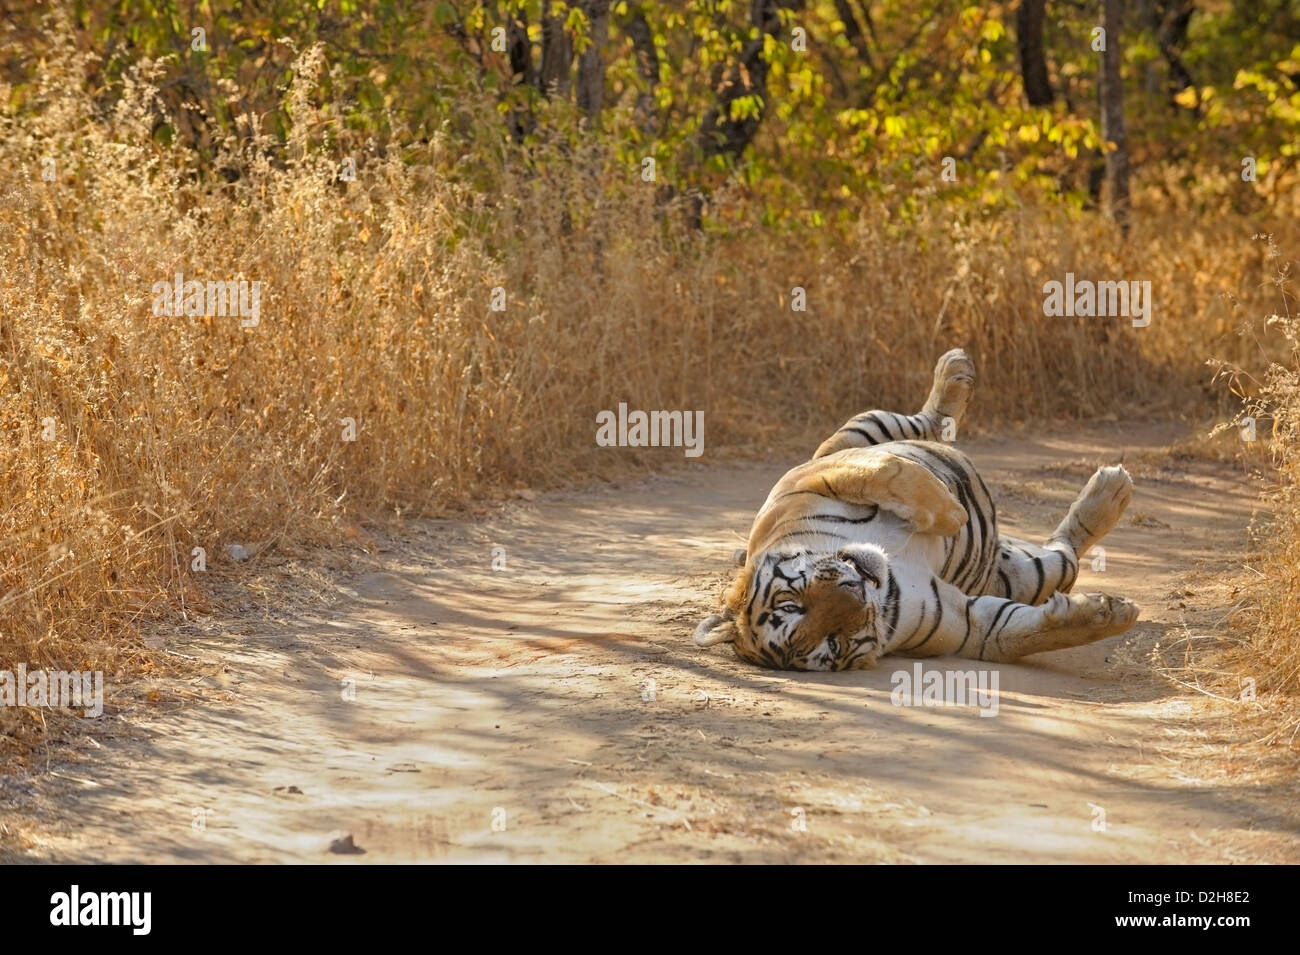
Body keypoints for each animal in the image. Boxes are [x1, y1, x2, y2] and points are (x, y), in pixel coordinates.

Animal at [693, 348, 1140, 671]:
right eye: (830, 645)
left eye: (791, 604)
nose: (854, 591)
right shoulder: (968, 623)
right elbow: (1018, 635)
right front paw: (1110, 616)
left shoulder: (803, 479)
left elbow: (886, 470)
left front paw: (953, 512)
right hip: (1029, 574)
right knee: (1067, 554)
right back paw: (1111, 492)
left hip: (859, 430)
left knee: (925, 423)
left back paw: (955, 371)